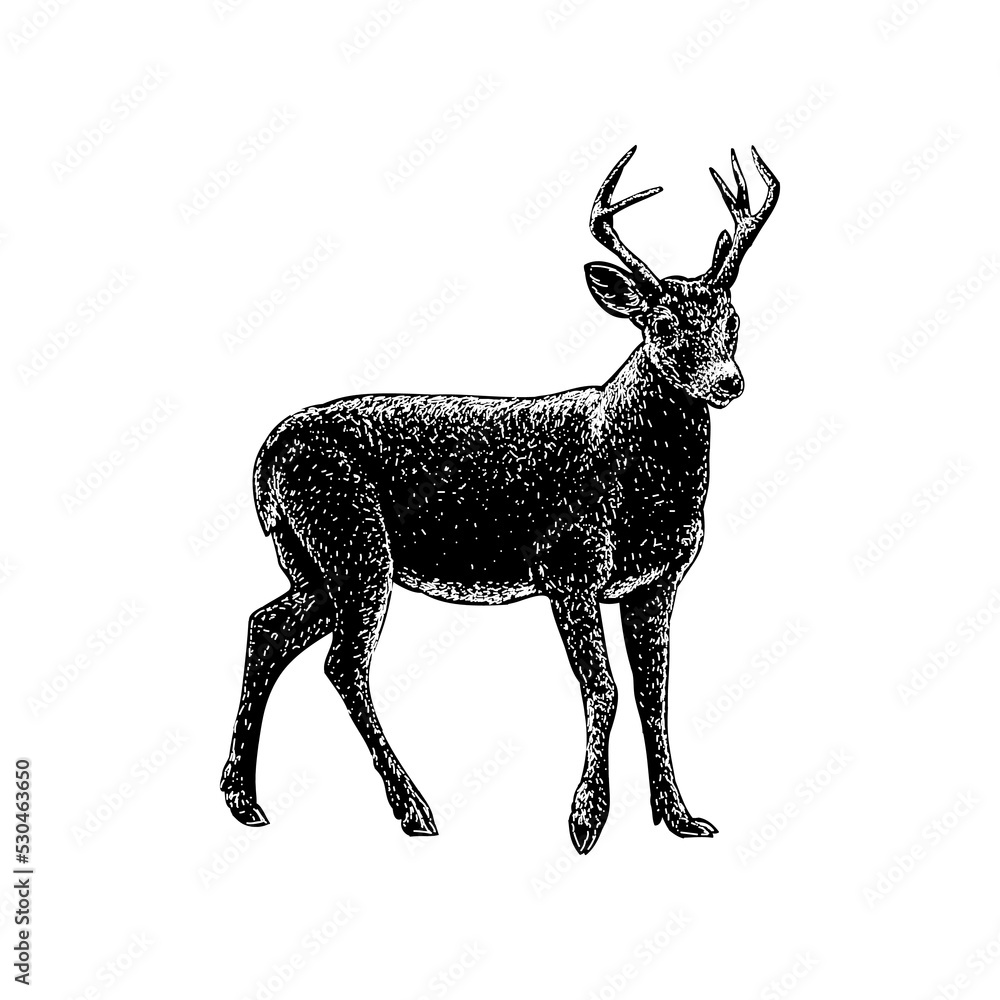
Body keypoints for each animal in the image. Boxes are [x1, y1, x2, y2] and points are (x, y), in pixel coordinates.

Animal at [221, 145, 779, 854]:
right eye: (660, 325)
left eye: (730, 319)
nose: (728, 382)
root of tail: (265, 457)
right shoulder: (568, 564)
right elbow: (604, 691)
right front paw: (585, 821)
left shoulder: (655, 582)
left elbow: (654, 694)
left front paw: (681, 818)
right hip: (352, 539)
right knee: (342, 663)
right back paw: (414, 809)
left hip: (314, 558)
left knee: (266, 626)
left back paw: (244, 800)